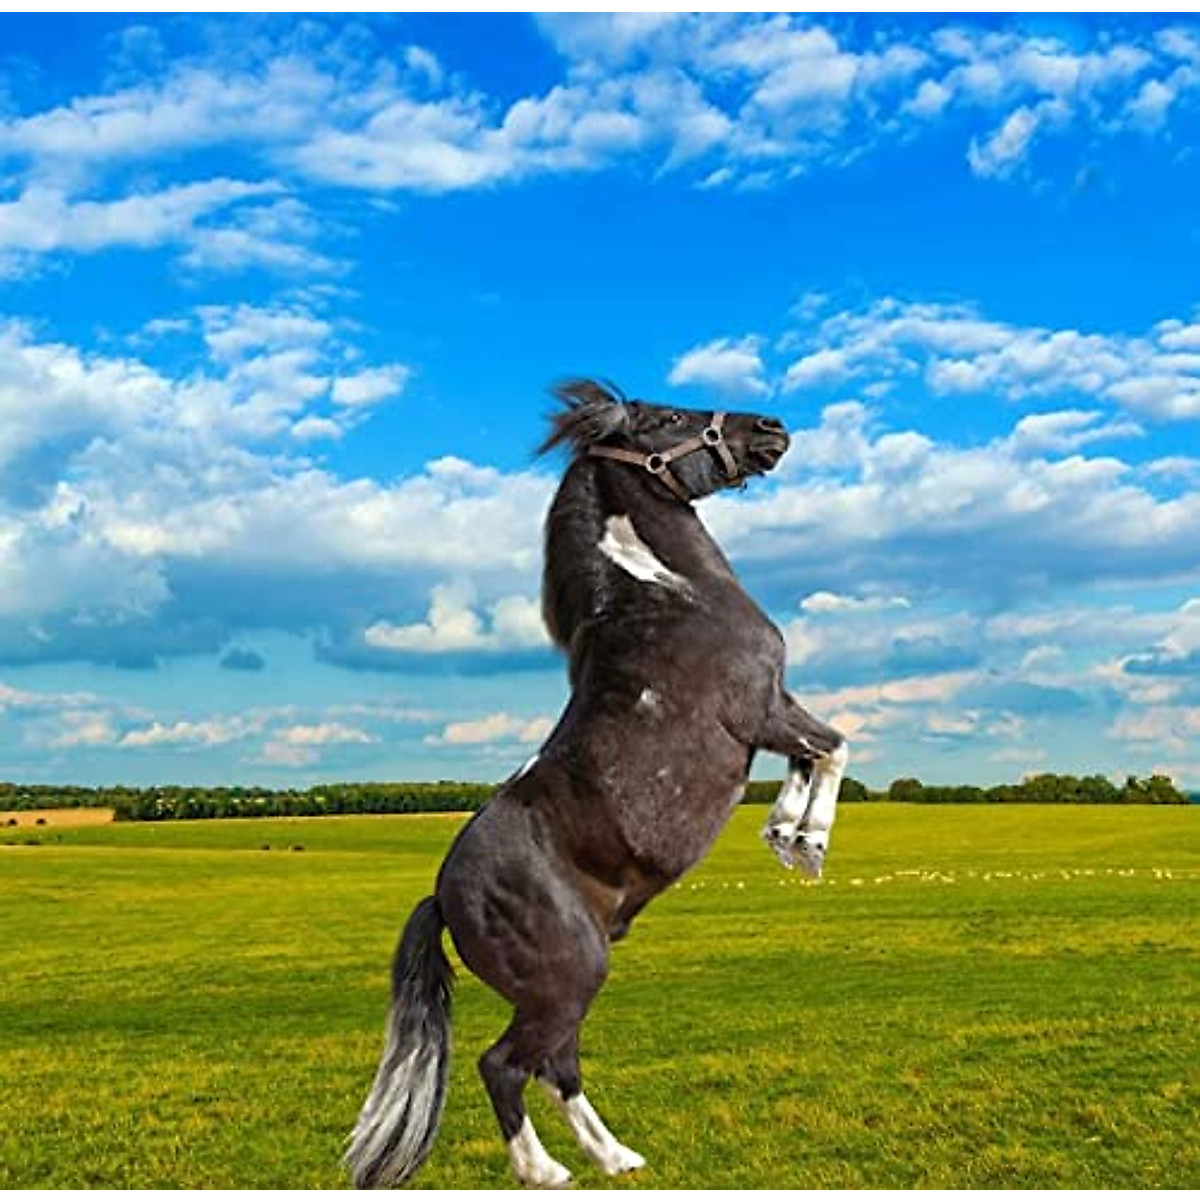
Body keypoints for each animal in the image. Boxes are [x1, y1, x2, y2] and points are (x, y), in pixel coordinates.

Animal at [345, 379, 849, 1189]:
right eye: (670, 417)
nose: (770, 427)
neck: (668, 594)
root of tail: (445, 897)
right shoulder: (760, 711)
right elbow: (832, 747)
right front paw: (806, 841)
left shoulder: (777, 707)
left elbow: (818, 753)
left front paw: (784, 835)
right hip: (569, 976)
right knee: (505, 1065)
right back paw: (545, 1171)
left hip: (566, 986)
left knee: (559, 1068)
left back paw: (616, 1156)